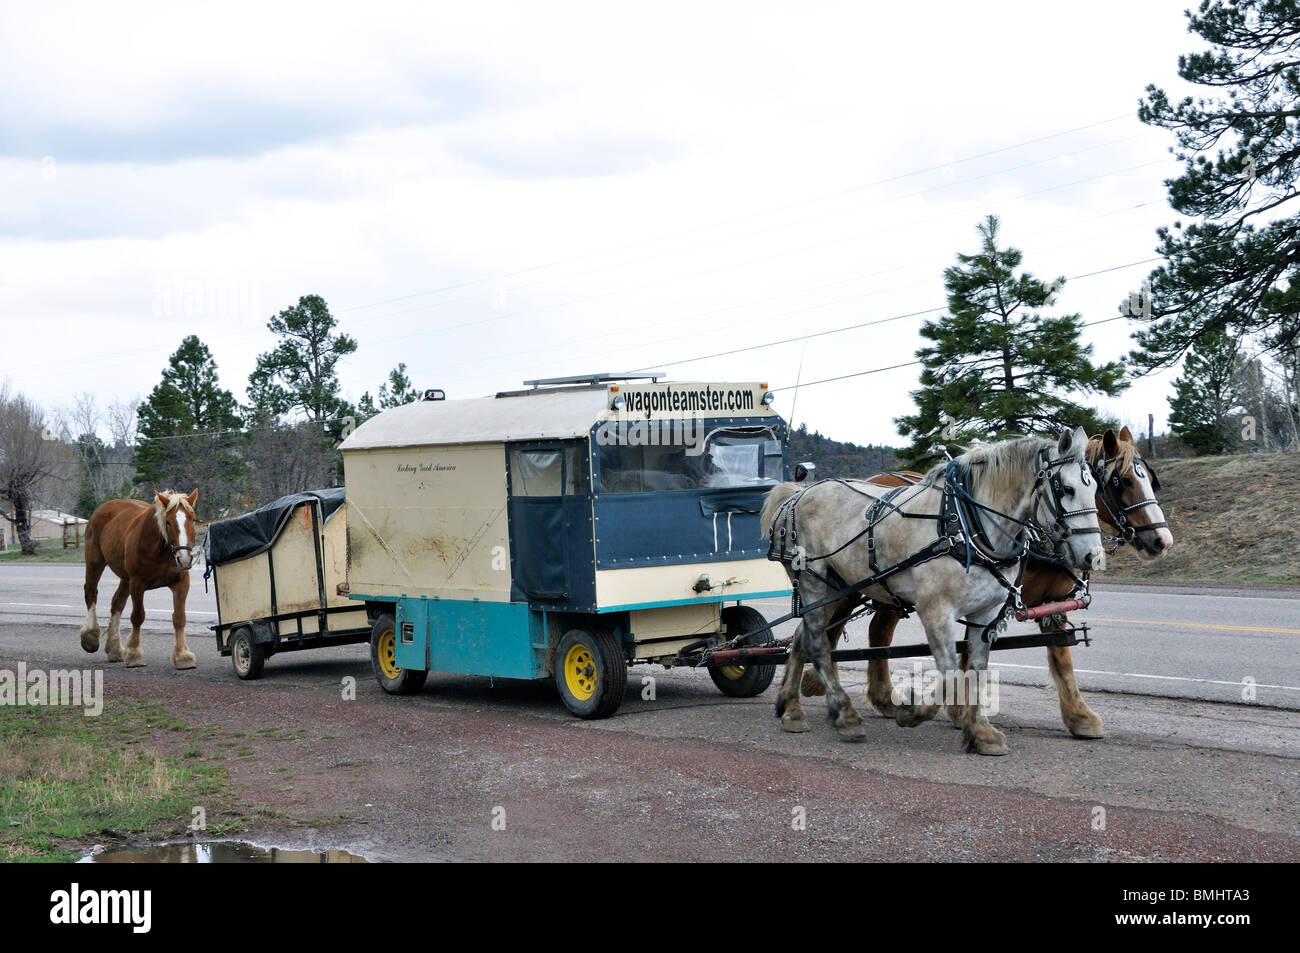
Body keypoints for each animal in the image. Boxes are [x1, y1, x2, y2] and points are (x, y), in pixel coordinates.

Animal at [79, 490, 201, 670]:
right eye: (168, 522)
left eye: (192, 519)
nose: (185, 559)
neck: (161, 551)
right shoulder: (137, 583)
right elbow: (138, 617)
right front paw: (134, 653)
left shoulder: (181, 583)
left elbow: (179, 618)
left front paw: (183, 655)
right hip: (95, 562)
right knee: (91, 593)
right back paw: (91, 636)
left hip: (125, 578)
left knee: (117, 603)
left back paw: (114, 648)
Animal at [799, 425, 1172, 739]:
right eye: (1122, 482)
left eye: (1151, 479)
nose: (1162, 541)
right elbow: (966, 655)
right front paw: (961, 711)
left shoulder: (1047, 604)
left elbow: (1060, 657)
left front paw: (1080, 717)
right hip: (851, 581)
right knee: (834, 624)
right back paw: (817, 684)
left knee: (877, 631)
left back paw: (880, 697)